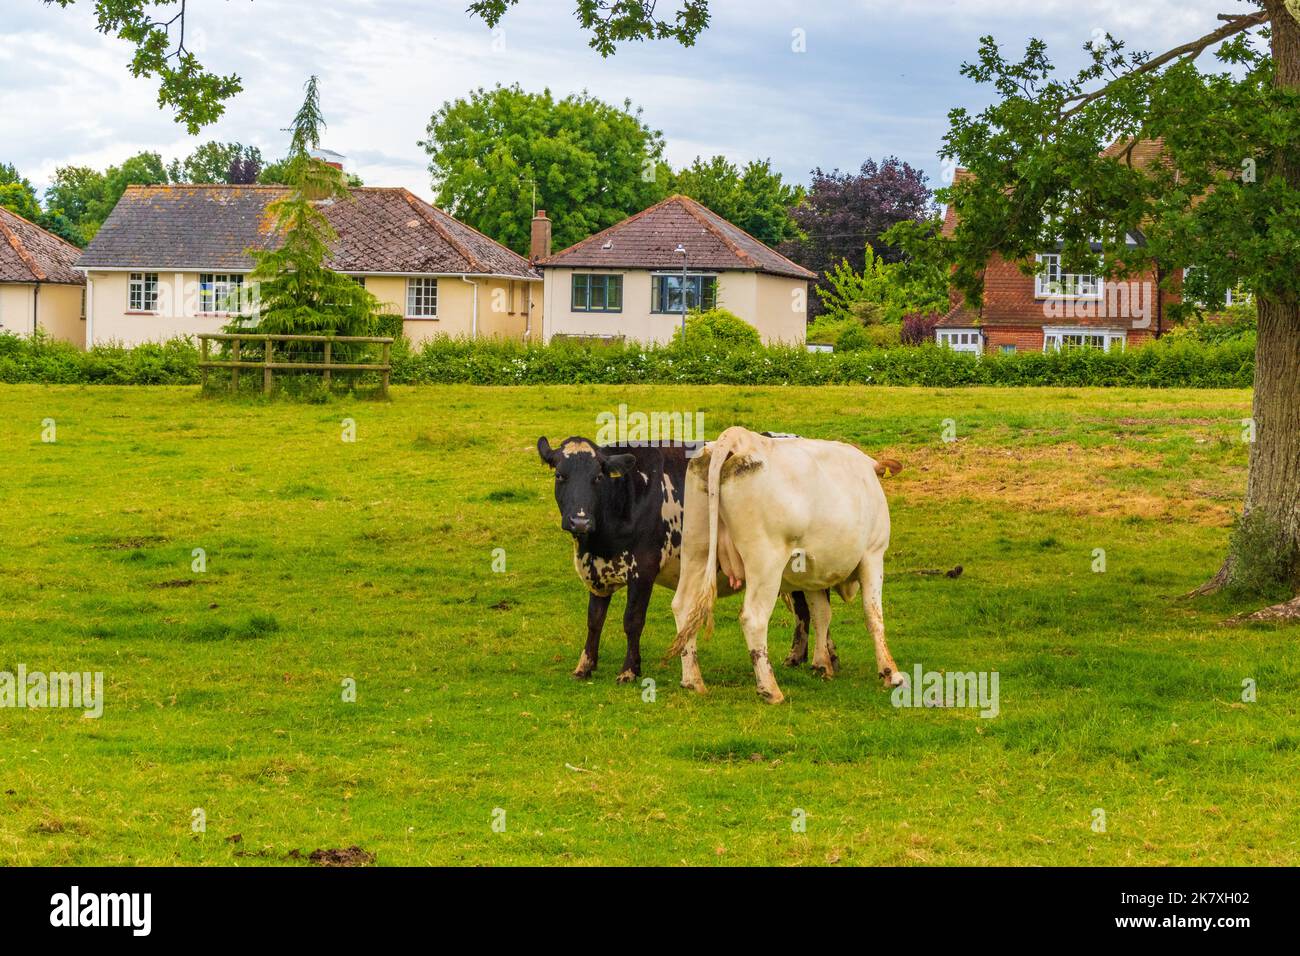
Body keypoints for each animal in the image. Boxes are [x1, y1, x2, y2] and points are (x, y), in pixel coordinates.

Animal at [537, 436, 825, 684]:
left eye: (597, 477)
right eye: (560, 475)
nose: (580, 521)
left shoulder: (643, 569)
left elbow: (633, 620)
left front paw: (629, 669)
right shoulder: (597, 573)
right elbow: (594, 620)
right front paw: (584, 666)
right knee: (804, 608)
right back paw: (802, 657)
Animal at [665, 427, 904, 704]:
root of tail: (739, 437)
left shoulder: (812, 575)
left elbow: (821, 614)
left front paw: (822, 664)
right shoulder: (873, 555)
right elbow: (873, 615)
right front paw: (890, 672)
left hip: (697, 552)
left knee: (684, 607)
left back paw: (692, 680)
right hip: (765, 563)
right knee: (754, 618)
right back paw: (769, 688)